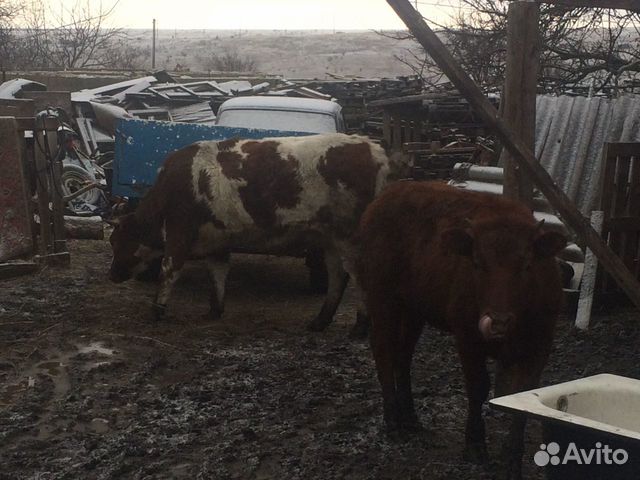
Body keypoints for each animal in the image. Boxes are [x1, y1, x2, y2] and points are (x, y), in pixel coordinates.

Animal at [108, 133, 408, 333]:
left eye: (116, 241)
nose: (112, 274)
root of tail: (371, 146)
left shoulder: (179, 233)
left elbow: (168, 270)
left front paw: (157, 309)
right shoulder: (218, 241)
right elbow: (218, 275)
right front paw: (214, 310)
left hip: (349, 237)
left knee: (357, 277)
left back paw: (360, 327)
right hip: (331, 239)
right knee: (337, 276)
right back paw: (320, 321)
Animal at [356, 181, 566, 479]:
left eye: (527, 264)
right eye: (477, 263)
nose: (498, 320)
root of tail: (388, 195)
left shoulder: (541, 345)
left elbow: (524, 394)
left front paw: (512, 457)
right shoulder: (467, 337)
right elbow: (478, 387)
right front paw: (475, 445)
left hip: (414, 309)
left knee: (403, 355)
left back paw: (410, 418)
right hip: (382, 297)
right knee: (383, 349)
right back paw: (393, 420)